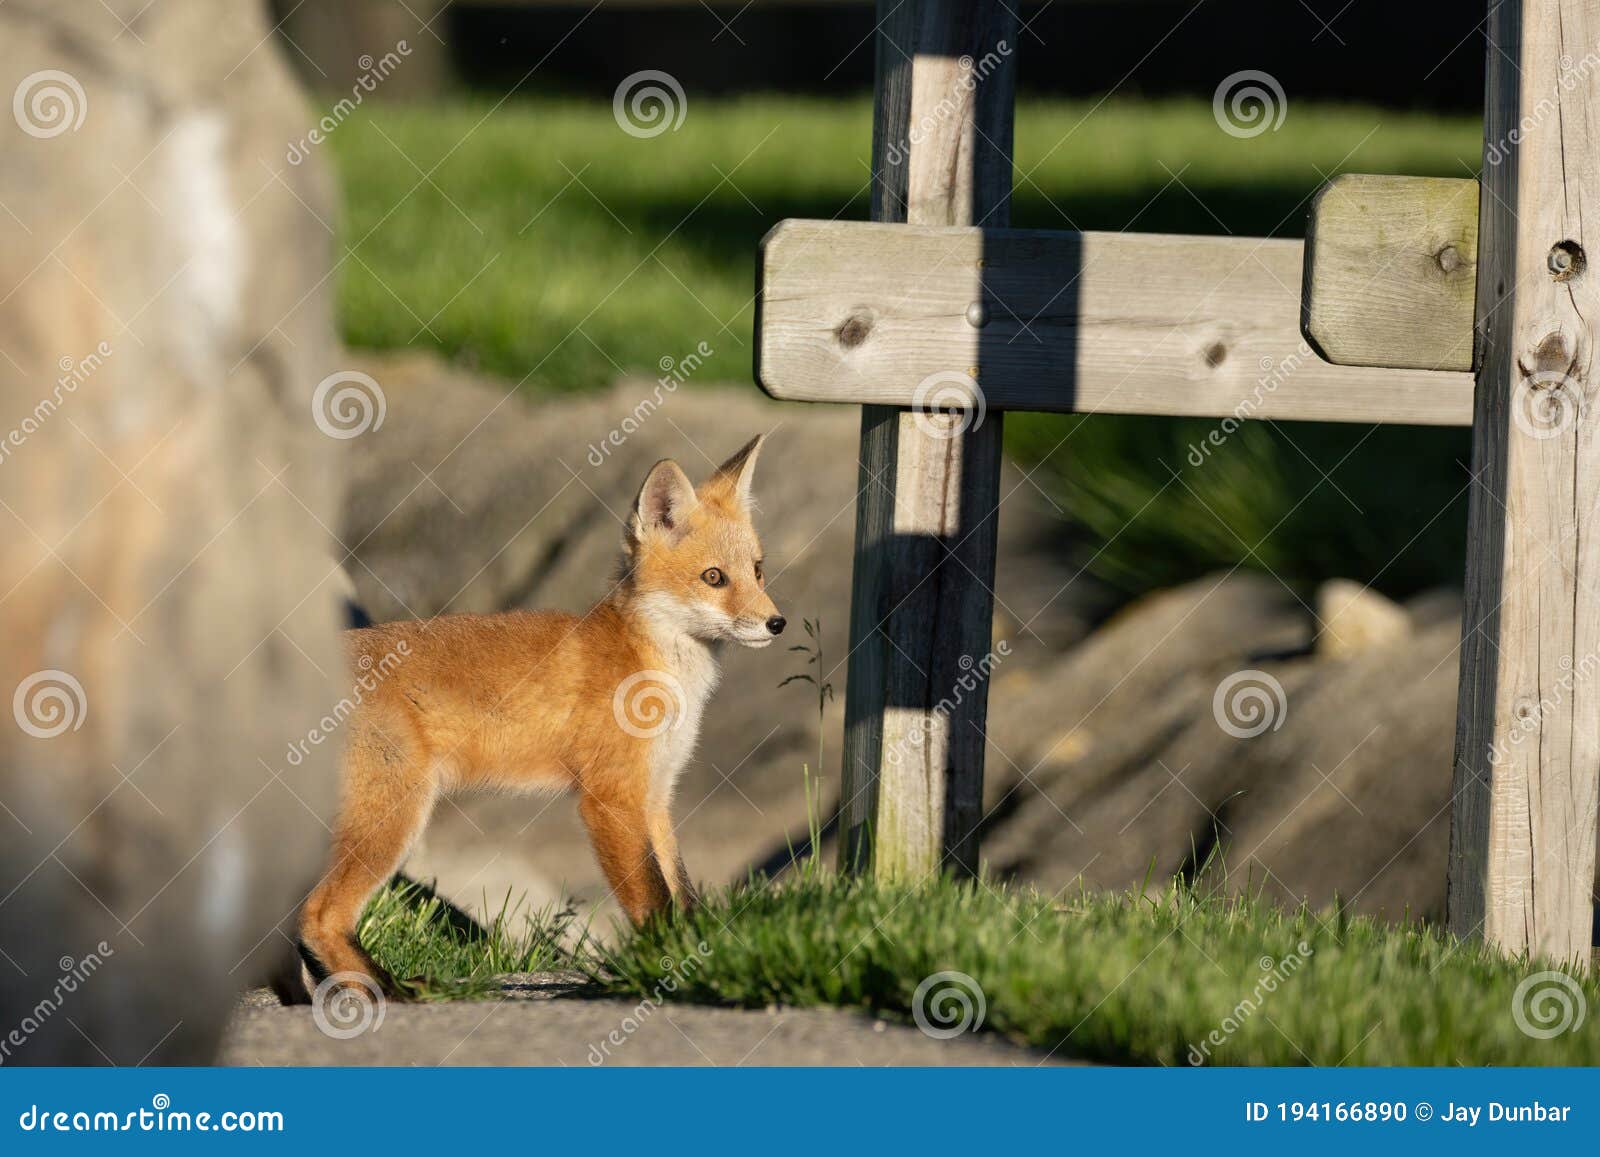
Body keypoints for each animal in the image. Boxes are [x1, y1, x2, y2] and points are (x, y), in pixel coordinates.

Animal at [295, 435, 784, 997]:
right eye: (713, 578)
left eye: (758, 570)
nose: (777, 623)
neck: (648, 662)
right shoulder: (609, 797)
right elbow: (652, 897)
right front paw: (669, 965)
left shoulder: (656, 795)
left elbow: (681, 889)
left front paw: (697, 951)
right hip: (393, 815)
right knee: (317, 915)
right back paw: (387, 988)